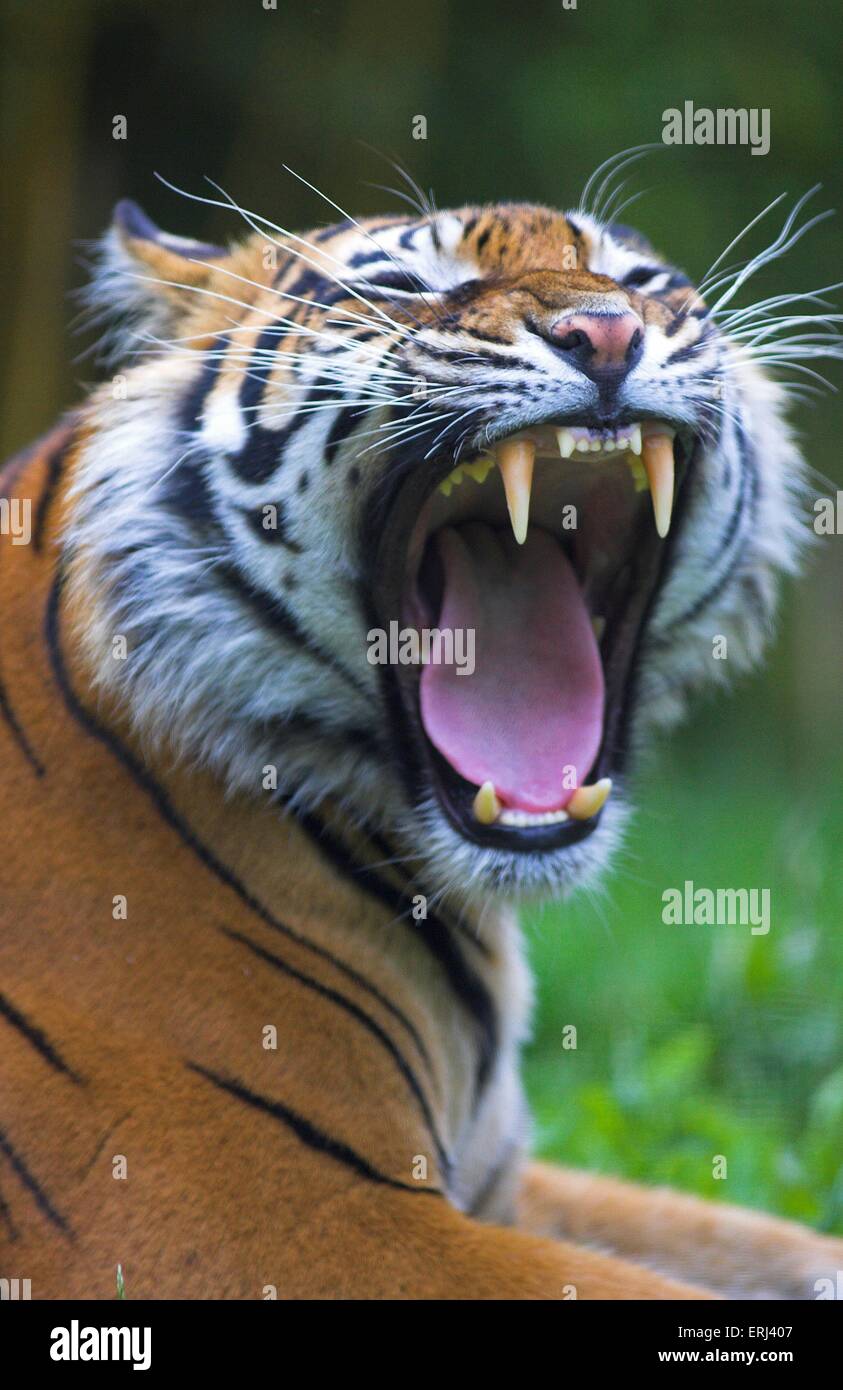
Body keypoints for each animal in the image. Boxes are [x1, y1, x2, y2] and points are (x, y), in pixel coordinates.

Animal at [2, 167, 842, 1301]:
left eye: (643, 281)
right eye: (407, 286)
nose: (607, 332)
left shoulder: (504, 1179)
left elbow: (762, 1239)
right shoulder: (270, 1213)